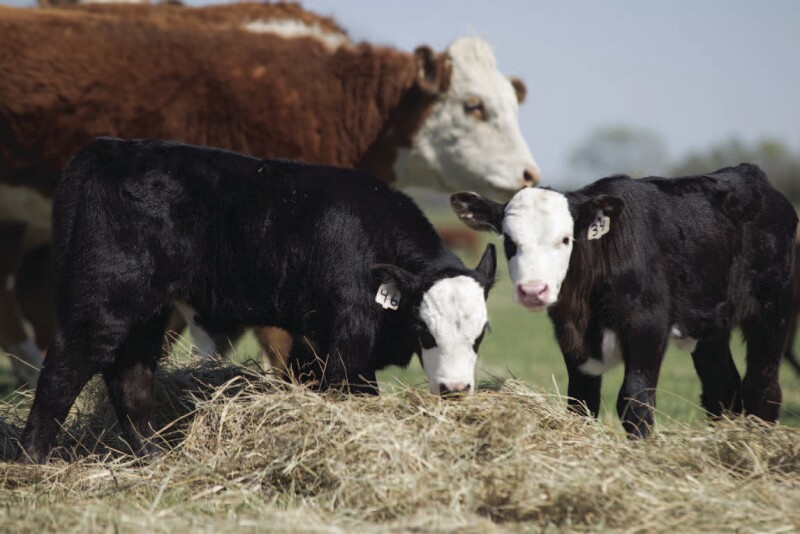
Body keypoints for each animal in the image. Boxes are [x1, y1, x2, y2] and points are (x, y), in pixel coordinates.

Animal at [19, 137, 497, 463]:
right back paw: (33, 461)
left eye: (480, 336)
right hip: (107, 302)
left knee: (130, 375)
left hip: (148, 312)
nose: (456, 391)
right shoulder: (350, 336)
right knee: (66, 364)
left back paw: (154, 458)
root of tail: (109, 147)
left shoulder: (312, 337)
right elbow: (354, 391)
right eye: (423, 330)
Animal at [451, 163, 797, 438]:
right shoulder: (572, 339)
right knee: (721, 387)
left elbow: (634, 402)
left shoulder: (648, 327)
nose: (533, 290)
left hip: (773, 311)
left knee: (763, 385)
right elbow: (581, 403)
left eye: (565, 239)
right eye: (509, 241)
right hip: (710, 326)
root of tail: (749, 172)